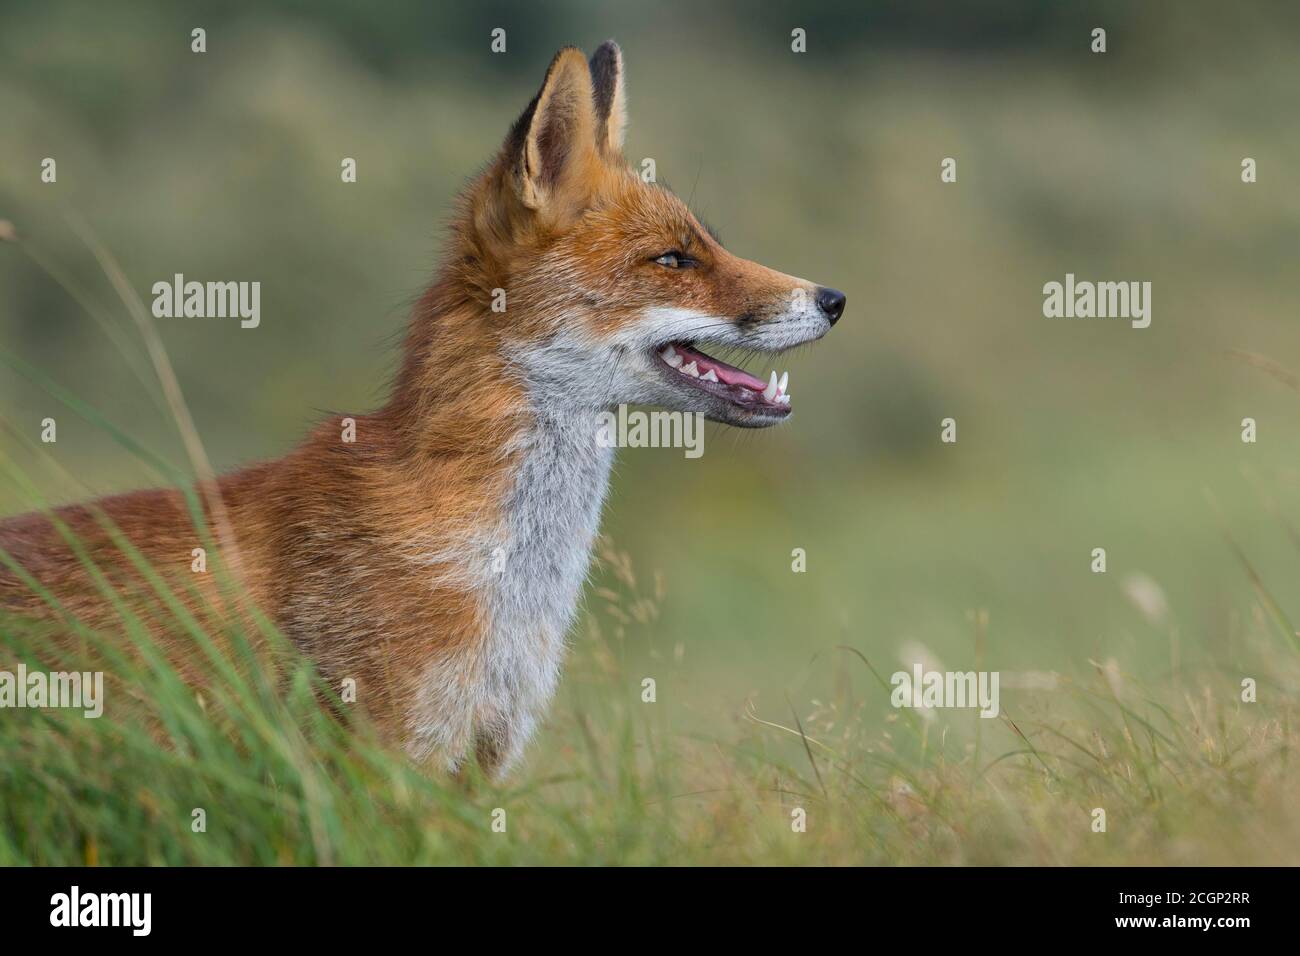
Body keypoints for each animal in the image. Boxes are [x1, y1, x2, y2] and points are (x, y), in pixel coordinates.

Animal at [0, 42, 845, 776]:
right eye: (673, 260)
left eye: (707, 245)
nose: (832, 299)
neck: (509, 582)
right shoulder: (386, 757)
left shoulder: (480, 759)